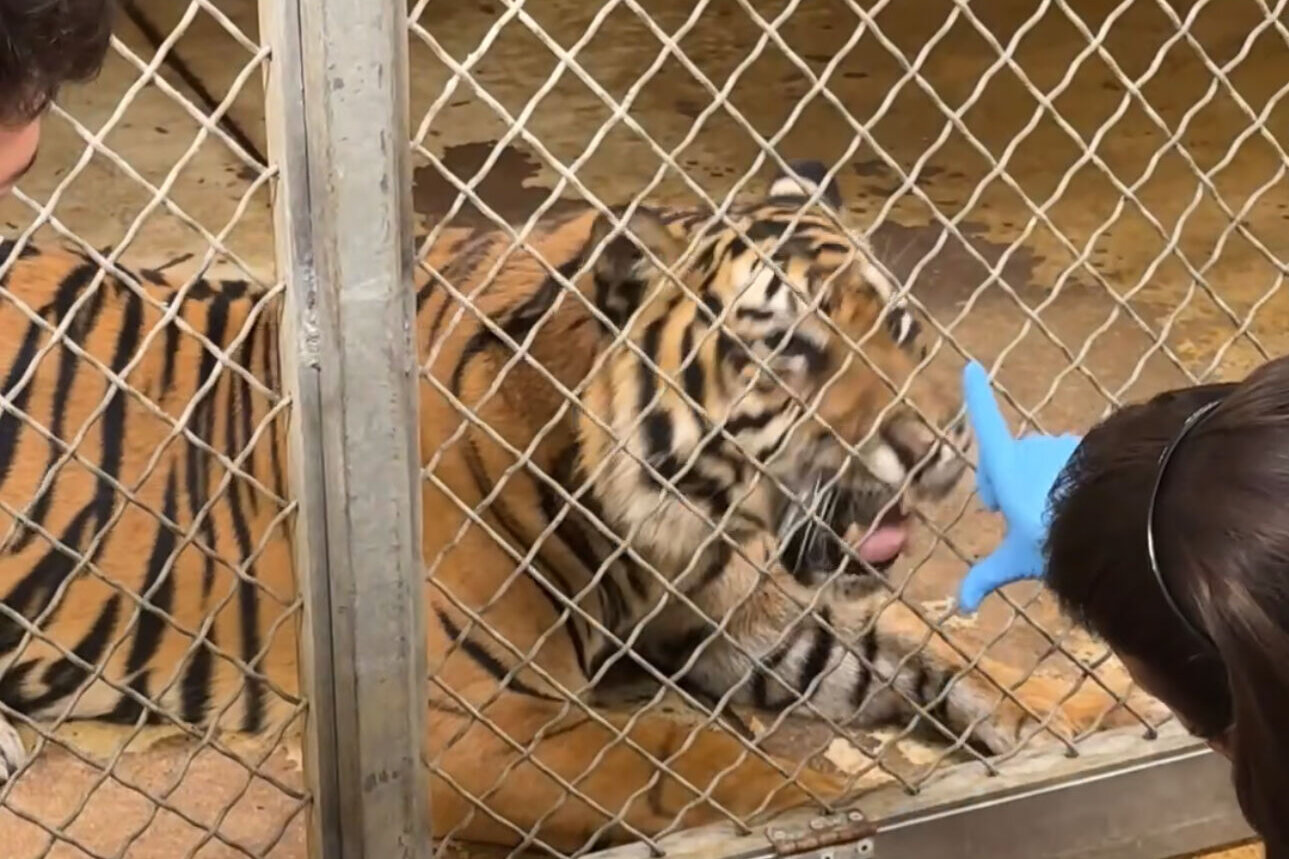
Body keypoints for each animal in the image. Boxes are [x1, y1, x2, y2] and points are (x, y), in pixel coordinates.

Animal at [0, 159, 1140, 851]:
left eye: (897, 324)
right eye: (787, 346)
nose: (937, 451)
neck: (664, 524)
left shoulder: (734, 622)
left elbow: (934, 653)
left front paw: (1101, 710)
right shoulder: (461, 732)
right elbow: (699, 763)